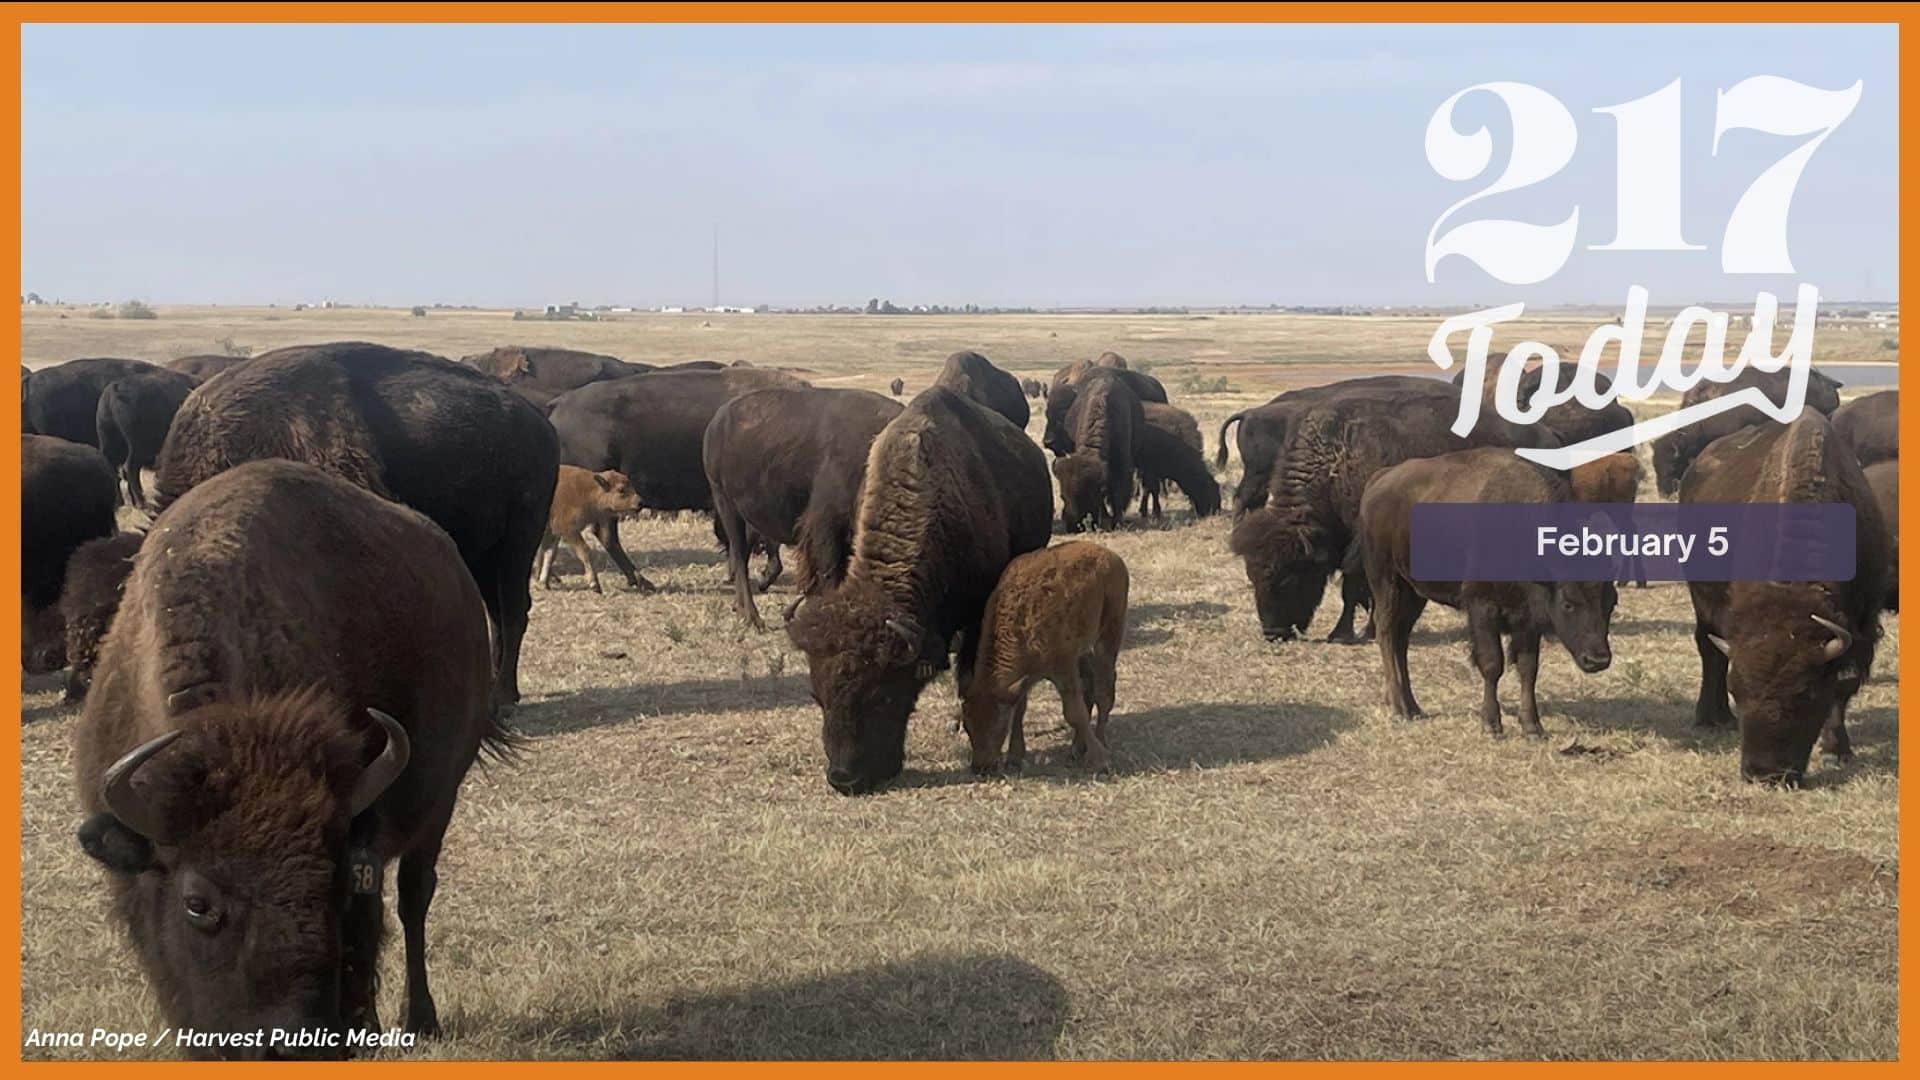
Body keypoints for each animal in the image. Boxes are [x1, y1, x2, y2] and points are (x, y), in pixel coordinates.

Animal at [153, 341, 558, 707]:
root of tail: (542, 425)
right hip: (486, 553)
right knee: (497, 613)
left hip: (519, 540)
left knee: (513, 610)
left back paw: (503, 696)